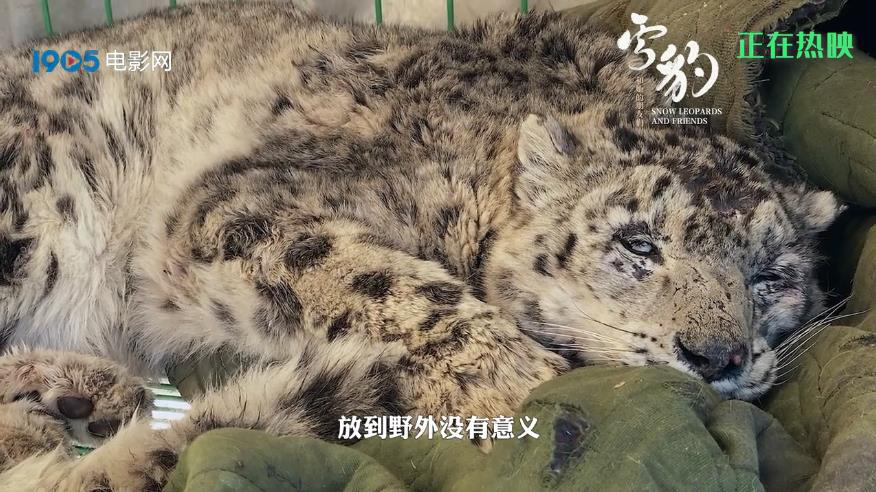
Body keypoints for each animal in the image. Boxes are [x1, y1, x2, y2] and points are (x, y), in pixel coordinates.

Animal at [0, 2, 841, 489]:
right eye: (639, 243)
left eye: (772, 277)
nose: (717, 356)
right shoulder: (241, 202)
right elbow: (389, 284)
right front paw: (519, 386)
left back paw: (81, 395)